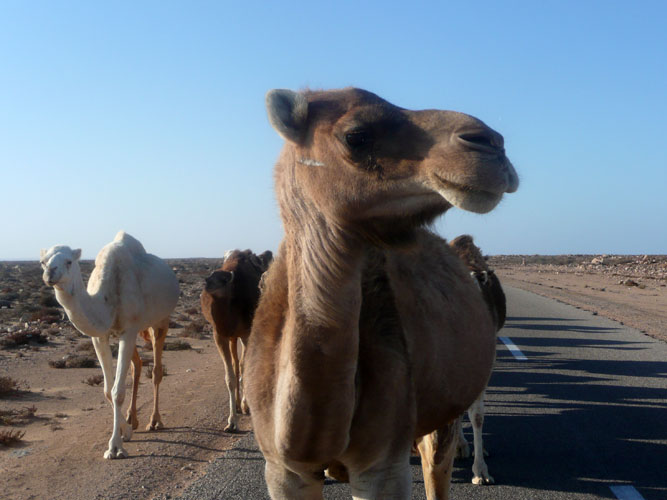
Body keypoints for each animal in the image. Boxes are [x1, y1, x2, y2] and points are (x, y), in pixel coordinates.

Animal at [40, 230, 179, 458]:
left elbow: (117, 392)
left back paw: (155, 421)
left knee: (157, 370)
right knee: (137, 365)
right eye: (43, 261)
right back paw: (133, 419)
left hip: (160, 321)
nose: (50, 273)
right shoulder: (100, 336)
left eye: (69, 261)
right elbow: (107, 389)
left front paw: (115, 447)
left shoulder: (128, 330)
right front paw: (126, 431)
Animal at [200, 248, 272, 432]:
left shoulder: (246, 333)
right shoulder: (220, 335)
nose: (207, 282)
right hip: (232, 337)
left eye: (224, 279)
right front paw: (232, 421)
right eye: (211, 275)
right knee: (235, 364)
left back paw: (244, 405)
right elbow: (230, 377)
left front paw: (246, 407)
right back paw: (239, 405)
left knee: (241, 364)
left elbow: (245, 366)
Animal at [243, 88, 520, 498]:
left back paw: (477, 467)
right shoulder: (283, 468)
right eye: (356, 135)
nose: (491, 144)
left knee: (464, 426)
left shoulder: (382, 465)